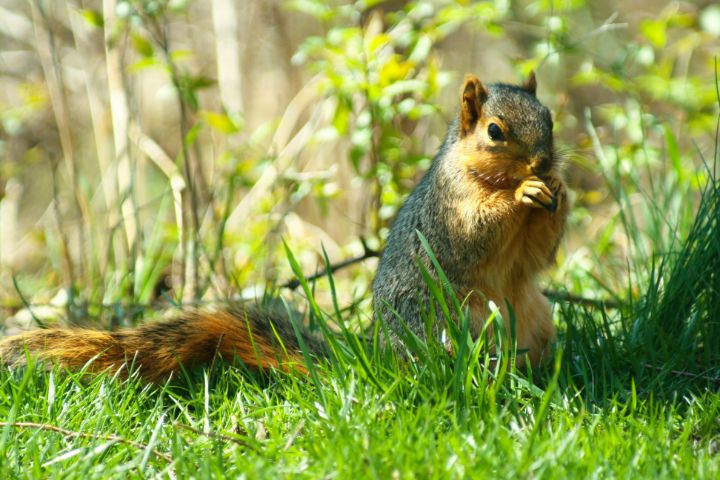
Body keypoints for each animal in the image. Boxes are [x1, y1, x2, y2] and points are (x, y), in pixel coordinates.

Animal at [0, 72, 567, 382]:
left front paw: (559, 191)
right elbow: (475, 231)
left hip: (535, 318)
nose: (543, 162)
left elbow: (538, 255)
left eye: (551, 119)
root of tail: (386, 362)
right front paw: (522, 193)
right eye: (494, 131)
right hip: (458, 324)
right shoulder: (449, 206)